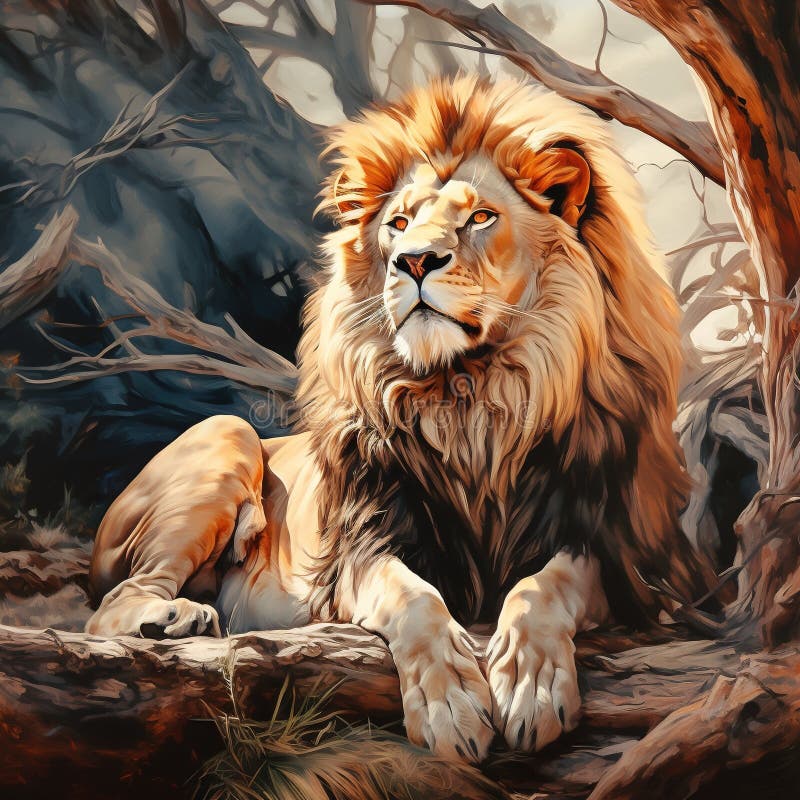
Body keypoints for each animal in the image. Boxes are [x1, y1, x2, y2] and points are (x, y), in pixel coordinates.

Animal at [87, 77, 716, 763]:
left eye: (480, 217)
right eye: (399, 224)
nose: (413, 261)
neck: (469, 398)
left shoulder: (609, 543)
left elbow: (542, 587)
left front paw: (530, 685)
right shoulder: (363, 547)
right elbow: (415, 597)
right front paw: (450, 707)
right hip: (224, 433)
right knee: (112, 603)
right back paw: (174, 618)